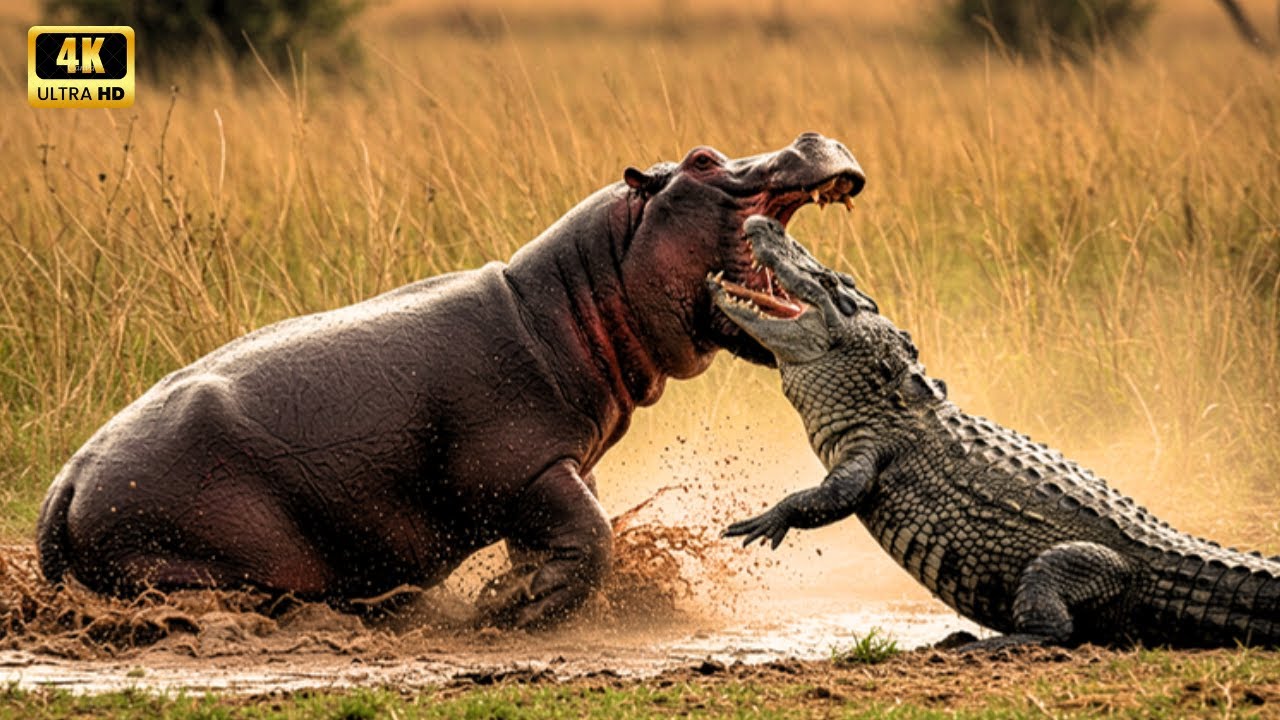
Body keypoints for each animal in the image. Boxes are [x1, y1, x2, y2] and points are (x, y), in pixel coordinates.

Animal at [36, 133, 865, 628]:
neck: (566, 303)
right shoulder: (527, 467)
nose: (810, 138)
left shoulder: (565, 469)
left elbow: (576, 533)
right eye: (700, 159)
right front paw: (511, 609)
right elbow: (593, 539)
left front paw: (521, 595)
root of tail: (64, 484)